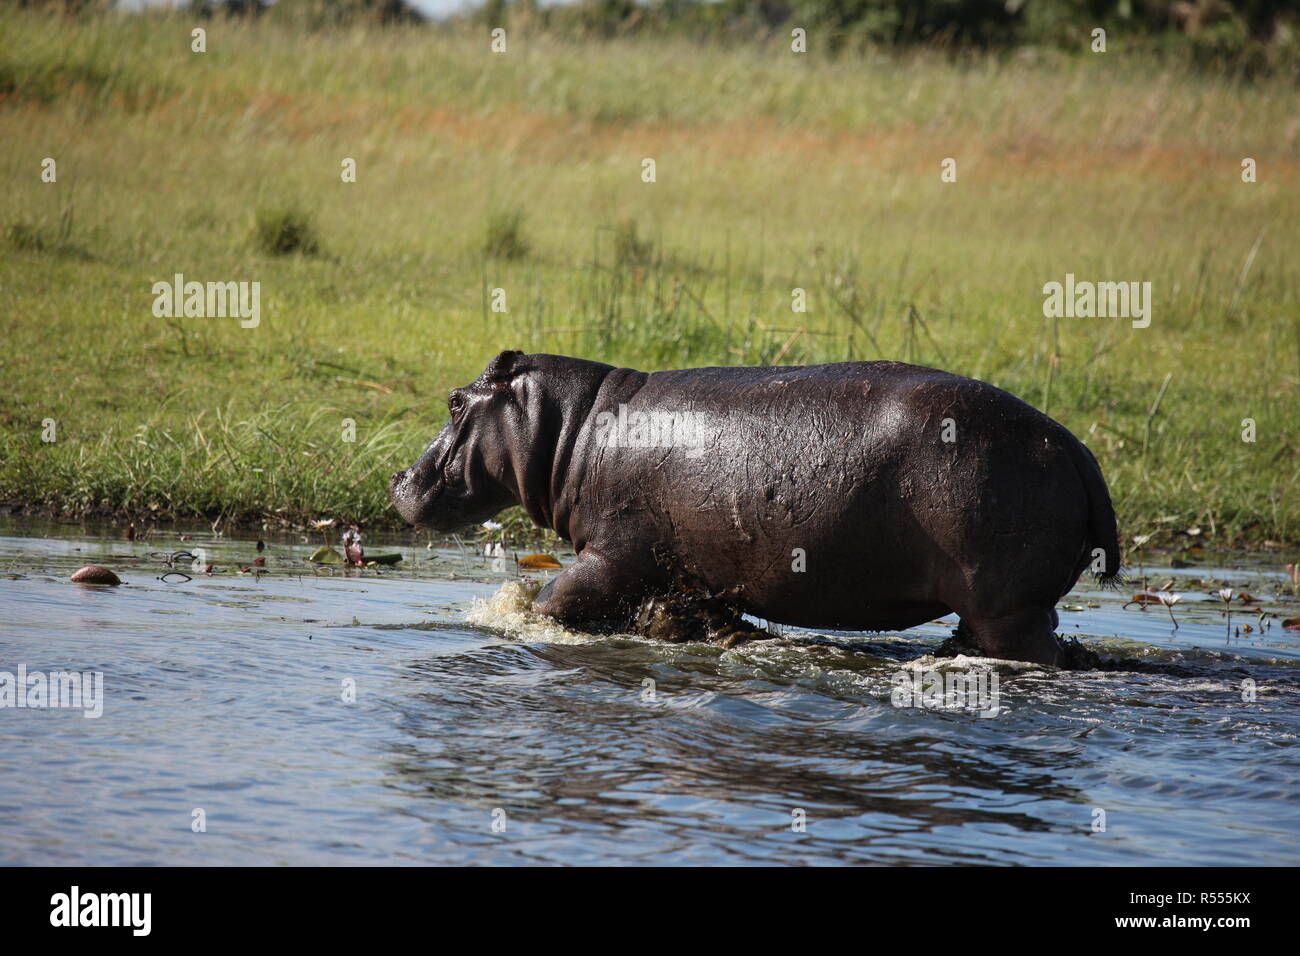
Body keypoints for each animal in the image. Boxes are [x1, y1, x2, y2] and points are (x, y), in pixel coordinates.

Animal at [390, 351, 1121, 665]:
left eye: (454, 401)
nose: (399, 477)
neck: (572, 427)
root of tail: (1076, 447)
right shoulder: (696, 573)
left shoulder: (612, 555)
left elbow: (553, 599)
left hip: (1008, 607)